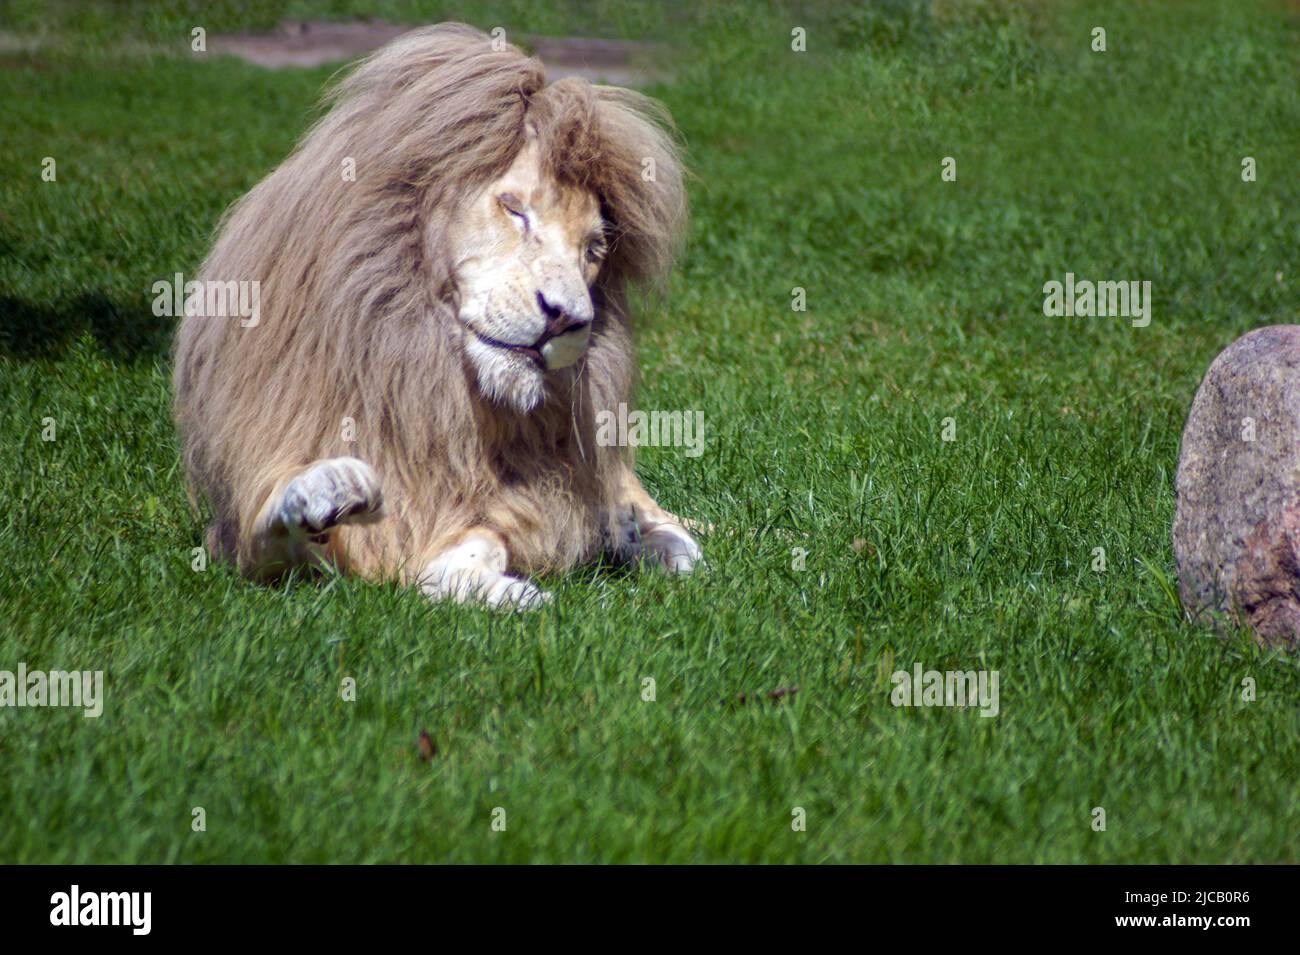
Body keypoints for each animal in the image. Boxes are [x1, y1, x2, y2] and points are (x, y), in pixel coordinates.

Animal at [172, 24, 702, 608]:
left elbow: (490, 538)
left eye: (594, 249)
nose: (568, 319)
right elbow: (282, 521)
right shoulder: (240, 537)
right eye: (514, 209)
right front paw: (333, 490)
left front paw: (504, 586)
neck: (428, 375)